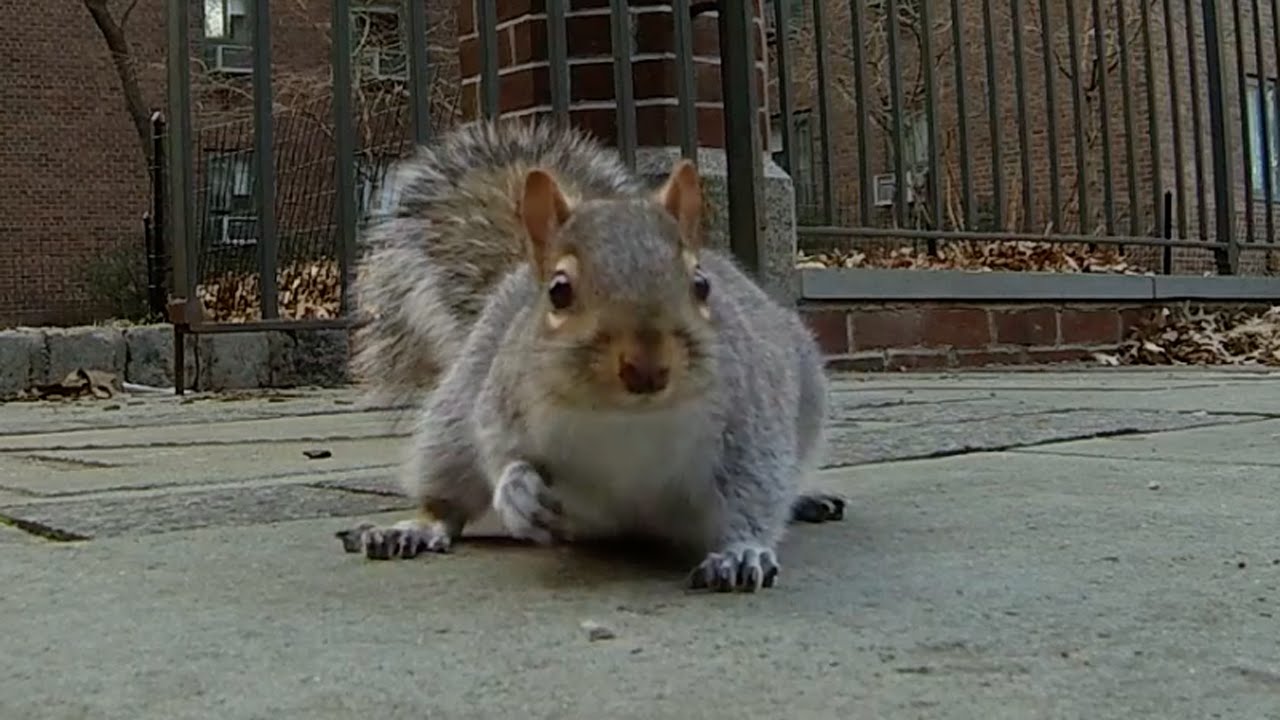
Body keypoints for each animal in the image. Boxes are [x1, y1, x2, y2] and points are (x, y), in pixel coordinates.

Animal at [340, 118, 844, 592]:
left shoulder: (748, 423)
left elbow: (754, 489)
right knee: (448, 489)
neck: (624, 419)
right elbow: (500, 451)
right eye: (559, 291)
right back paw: (417, 527)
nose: (647, 367)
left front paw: (741, 553)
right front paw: (519, 491)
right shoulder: (501, 401)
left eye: (701, 285)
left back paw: (806, 499)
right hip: (453, 421)